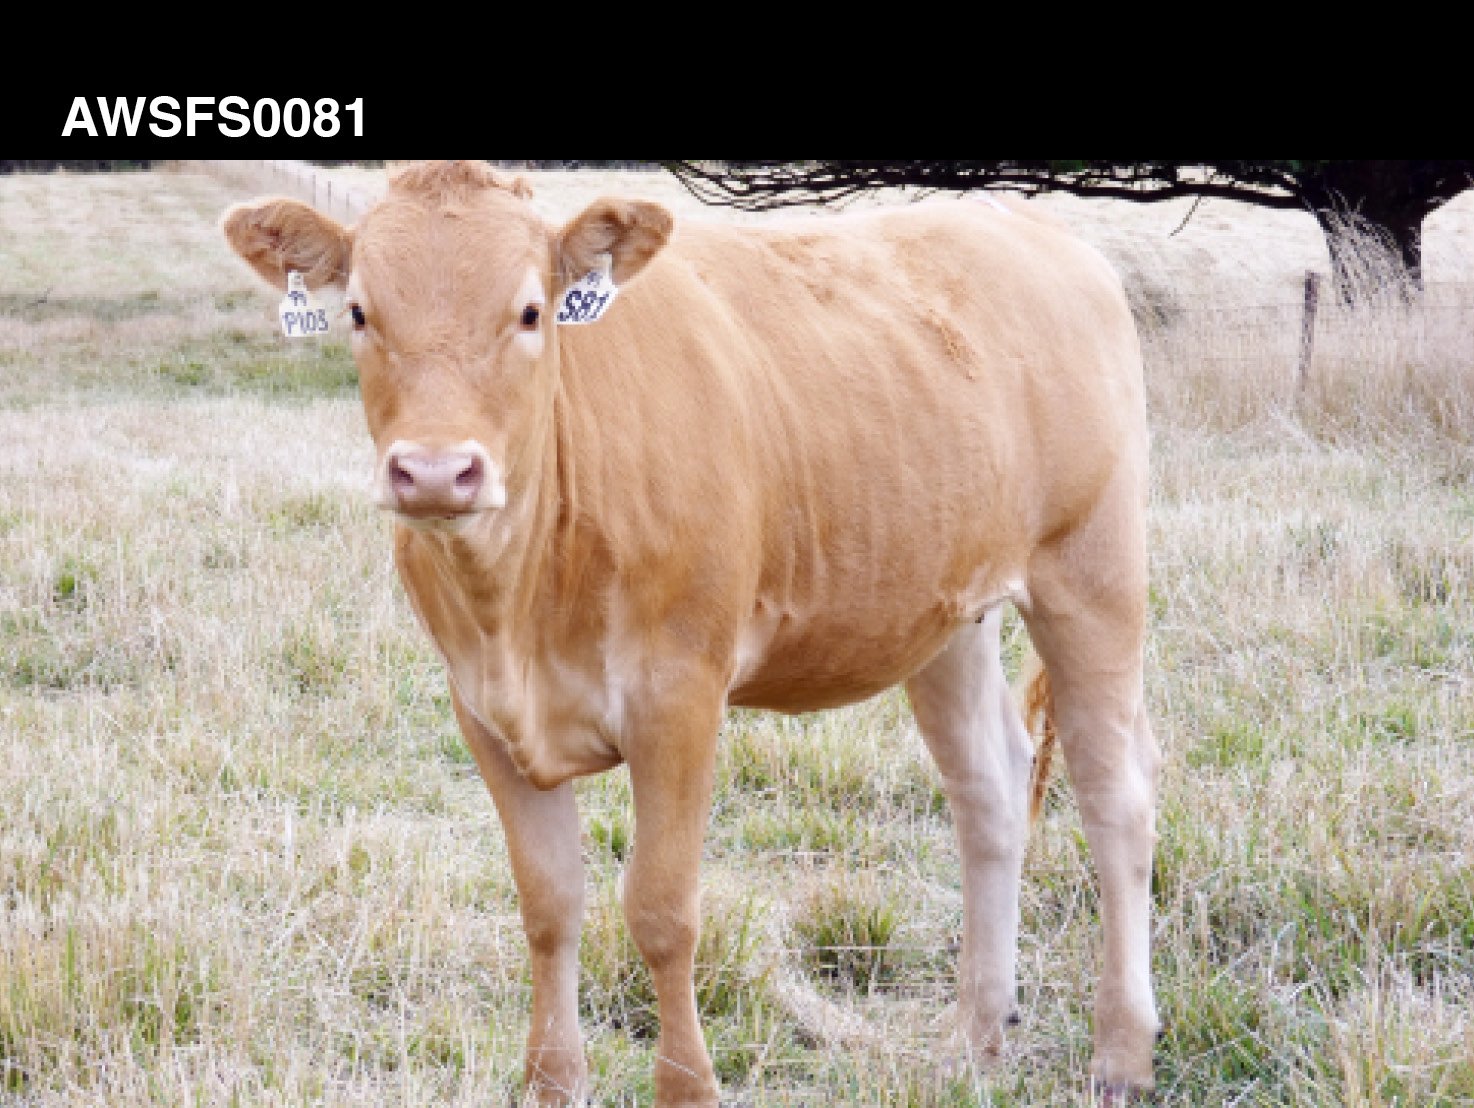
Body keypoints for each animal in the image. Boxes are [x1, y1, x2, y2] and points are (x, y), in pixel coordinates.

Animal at [222, 160, 1160, 1106]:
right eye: (358, 312)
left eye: (529, 311)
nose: (437, 471)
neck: (520, 608)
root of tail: (1033, 232)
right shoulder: (481, 708)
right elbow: (548, 903)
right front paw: (553, 1081)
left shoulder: (679, 695)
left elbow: (661, 909)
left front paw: (687, 1084)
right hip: (945, 609)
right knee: (989, 788)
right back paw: (973, 1037)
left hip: (1093, 571)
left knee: (1115, 797)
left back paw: (1121, 1052)